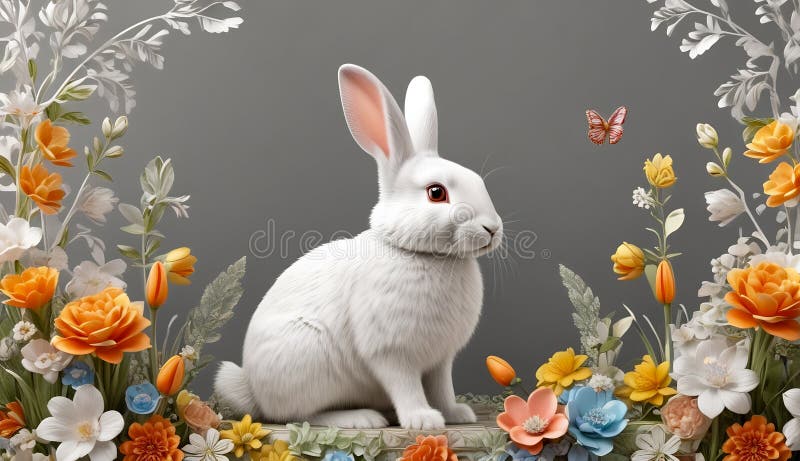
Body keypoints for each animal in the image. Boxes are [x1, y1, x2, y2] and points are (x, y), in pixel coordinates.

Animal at [215, 64, 503, 430]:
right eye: (436, 193)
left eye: (478, 182)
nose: (492, 228)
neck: (423, 255)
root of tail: (254, 391)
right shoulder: (391, 353)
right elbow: (407, 386)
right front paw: (423, 420)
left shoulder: (440, 360)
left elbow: (442, 388)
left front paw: (454, 415)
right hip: (310, 362)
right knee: (300, 415)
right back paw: (361, 418)